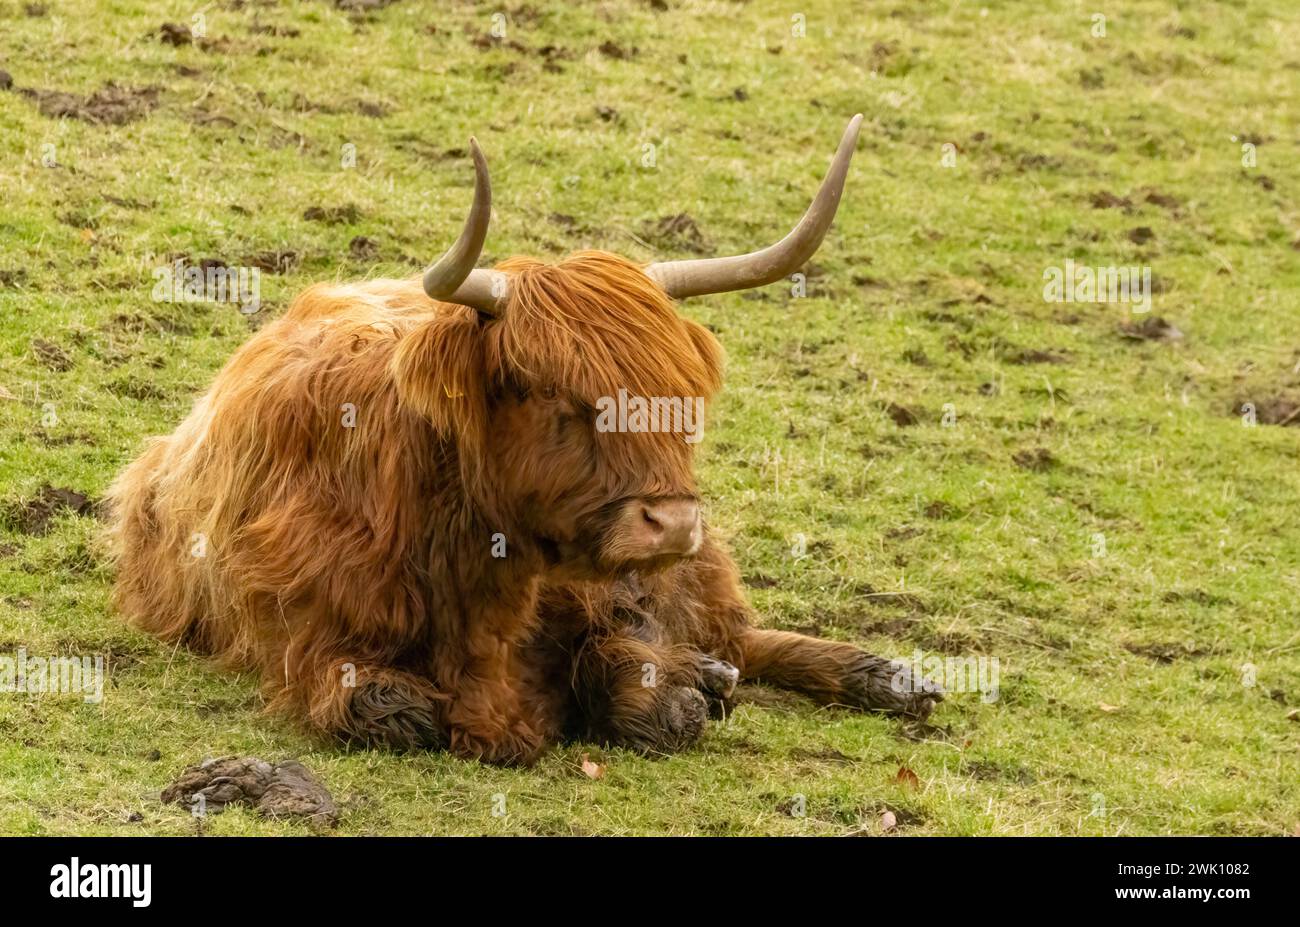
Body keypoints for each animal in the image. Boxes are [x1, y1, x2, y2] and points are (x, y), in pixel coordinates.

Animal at [107, 115, 941, 765]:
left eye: (680, 400)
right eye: (554, 395)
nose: (673, 522)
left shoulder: (615, 596)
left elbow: (647, 691)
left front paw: (686, 688)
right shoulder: (303, 635)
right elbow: (391, 709)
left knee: (736, 634)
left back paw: (887, 675)